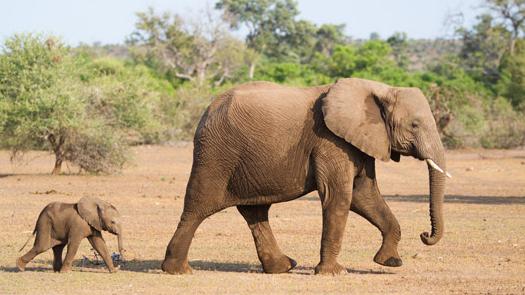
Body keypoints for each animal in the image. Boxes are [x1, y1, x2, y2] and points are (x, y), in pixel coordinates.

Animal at [162, 78, 448, 276]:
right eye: (414, 125)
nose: (425, 234)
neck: (379, 89)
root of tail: (208, 109)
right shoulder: (331, 141)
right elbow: (339, 197)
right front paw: (334, 273)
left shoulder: (357, 141)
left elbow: (364, 195)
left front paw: (389, 262)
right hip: (216, 154)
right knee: (197, 207)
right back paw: (177, 270)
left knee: (255, 212)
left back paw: (283, 267)